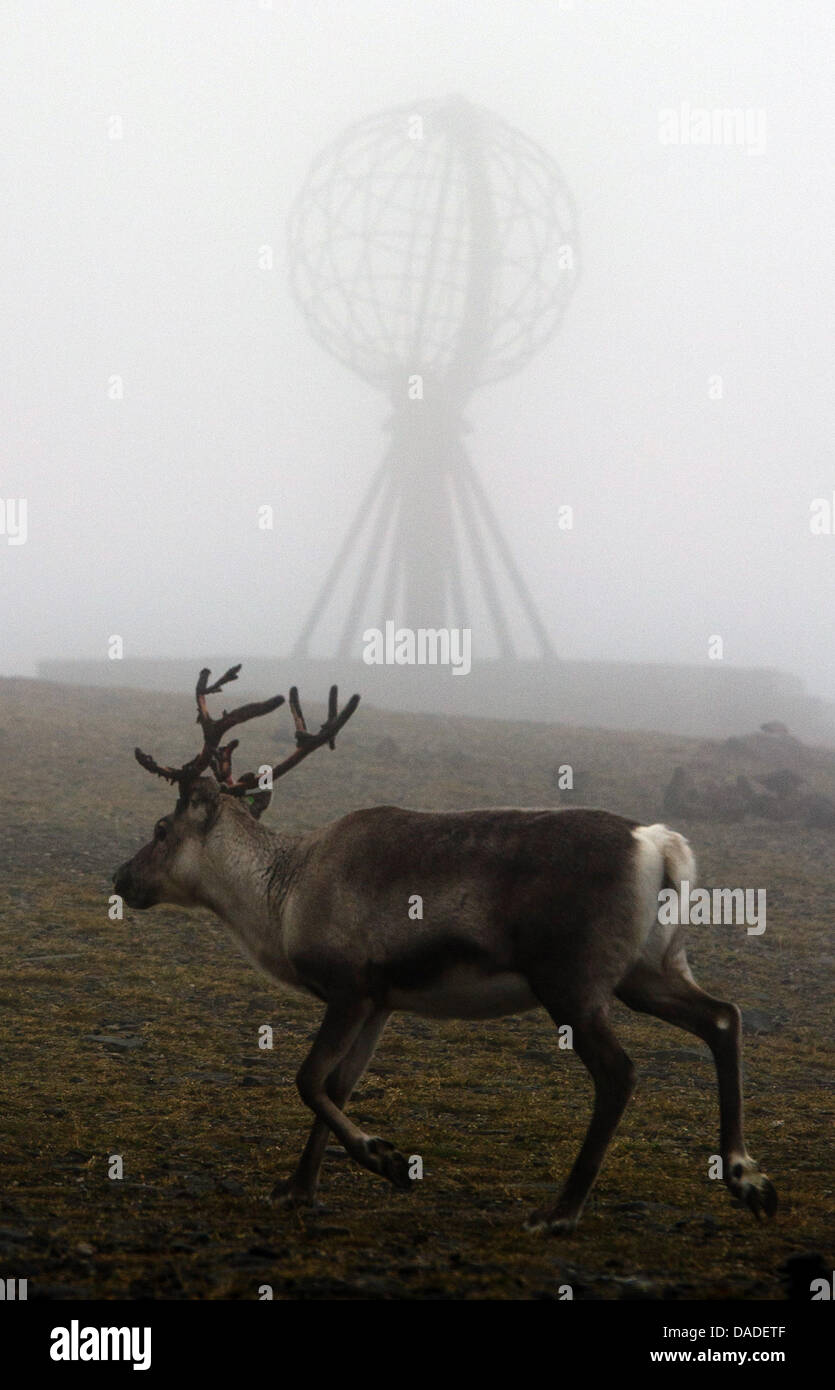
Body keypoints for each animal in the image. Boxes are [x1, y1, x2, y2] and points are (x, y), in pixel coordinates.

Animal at [113, 665, 777, 1232]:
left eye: (161, 830)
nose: (120, 878)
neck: (283, 893)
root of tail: (660, 844)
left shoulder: (350, 987)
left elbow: (308, 1079)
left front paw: (386, 1160)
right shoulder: (380, 1001)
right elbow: (337, 1085)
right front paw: (298, 1189)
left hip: (571, 983)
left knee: (619, 1073)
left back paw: (559, 1213)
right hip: (648, 970)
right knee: (723, 1017)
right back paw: (748, 1179)